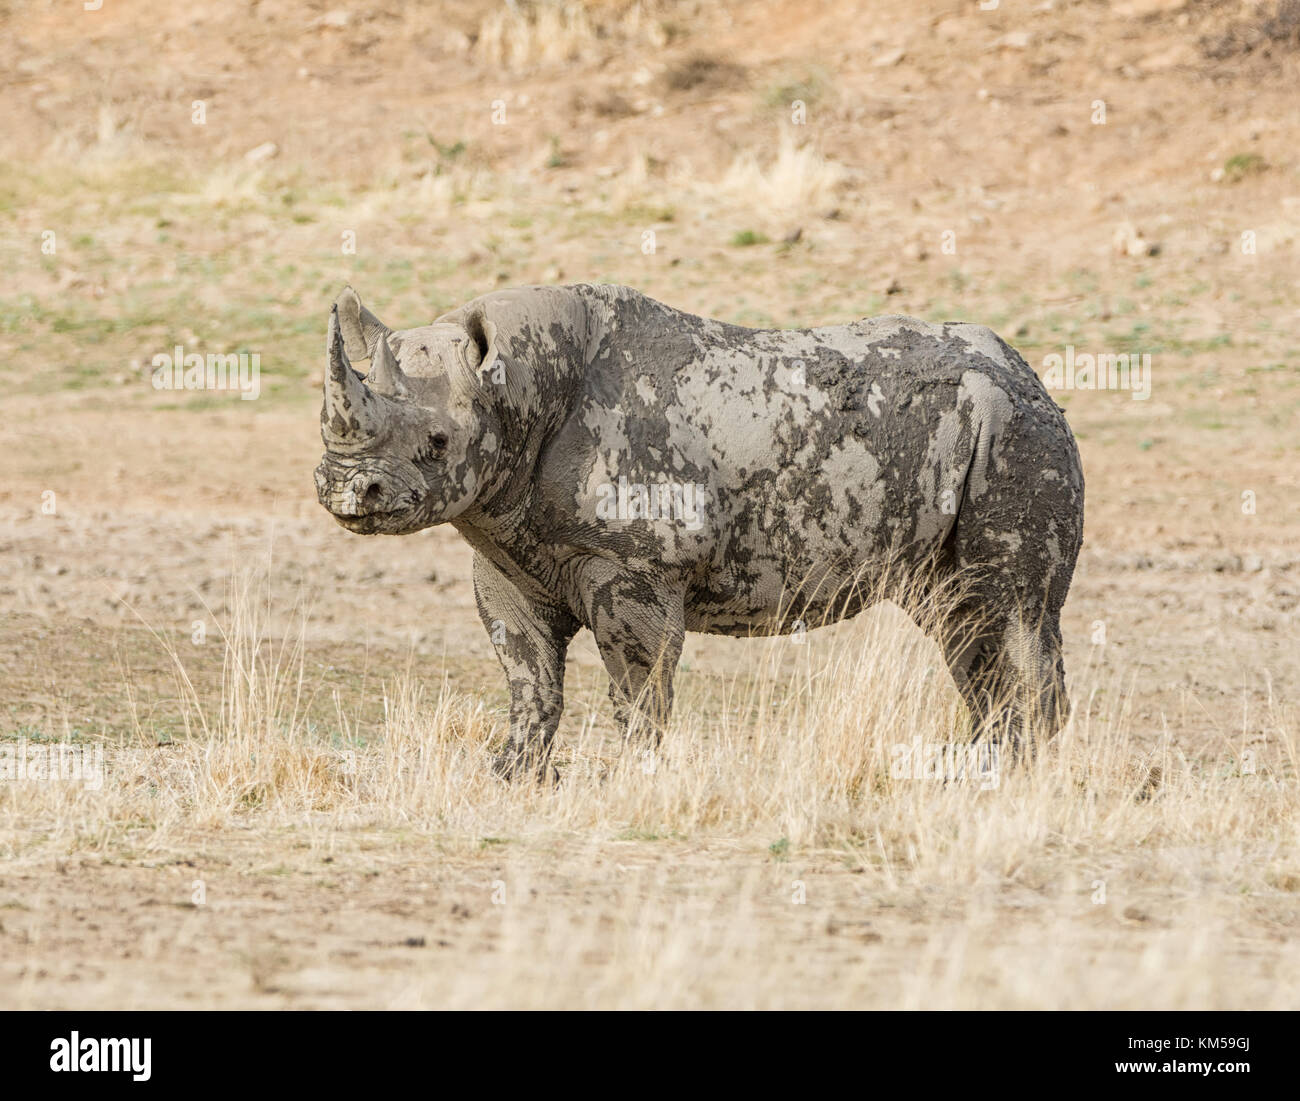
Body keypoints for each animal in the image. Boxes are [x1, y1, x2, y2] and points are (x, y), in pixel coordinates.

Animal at [314, 284, 1084, 779]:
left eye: (439, 442)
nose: (346, 490)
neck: (516, 393)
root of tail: (1033, 374)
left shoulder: (634, 565)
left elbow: (638, 683)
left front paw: (635, 777)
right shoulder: (506, 555)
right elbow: (529, 677)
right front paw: (511, 775)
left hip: (1017, 433)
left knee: (1015, 613)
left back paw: (1027, 782)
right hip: (982, 436)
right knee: (964, 621)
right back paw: (987, 772)